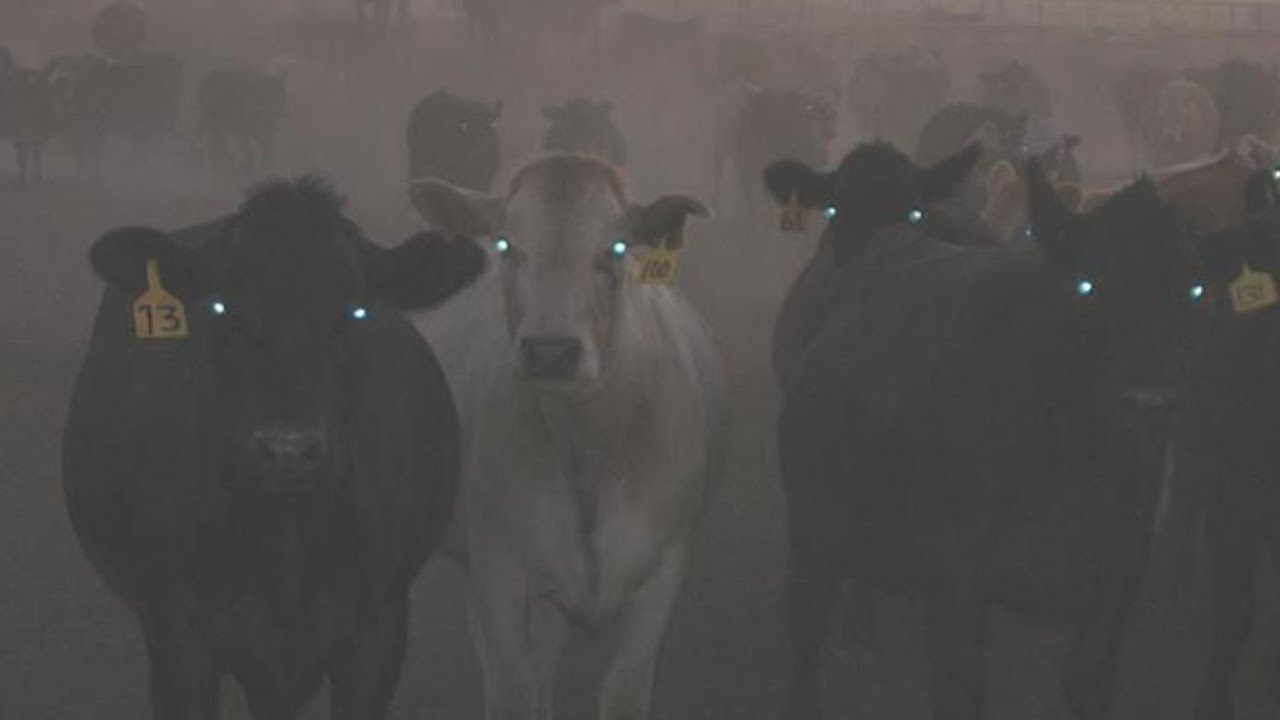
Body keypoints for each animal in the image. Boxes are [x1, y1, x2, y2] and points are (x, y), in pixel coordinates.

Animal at [62, 177, 487, 719]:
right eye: (224, 308)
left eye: (355, 311)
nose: (288, 450)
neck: (288, 551)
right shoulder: (178, 638)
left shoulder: (378, 634)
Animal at [409, 154, 726, 720]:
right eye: (507, 244)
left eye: (617, 247)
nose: (551, 352)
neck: (589, 447)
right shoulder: (500, 566)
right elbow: (512, 690)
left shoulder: (664, 569)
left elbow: (623, 690)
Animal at [769, 150, 1204, 719]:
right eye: (1088, 285)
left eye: (1194, 289)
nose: (1152, 401)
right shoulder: (954, 575)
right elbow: (960, 682)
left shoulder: (1118, 581)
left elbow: (1089, 679)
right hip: (811, 530)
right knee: (805, 635)